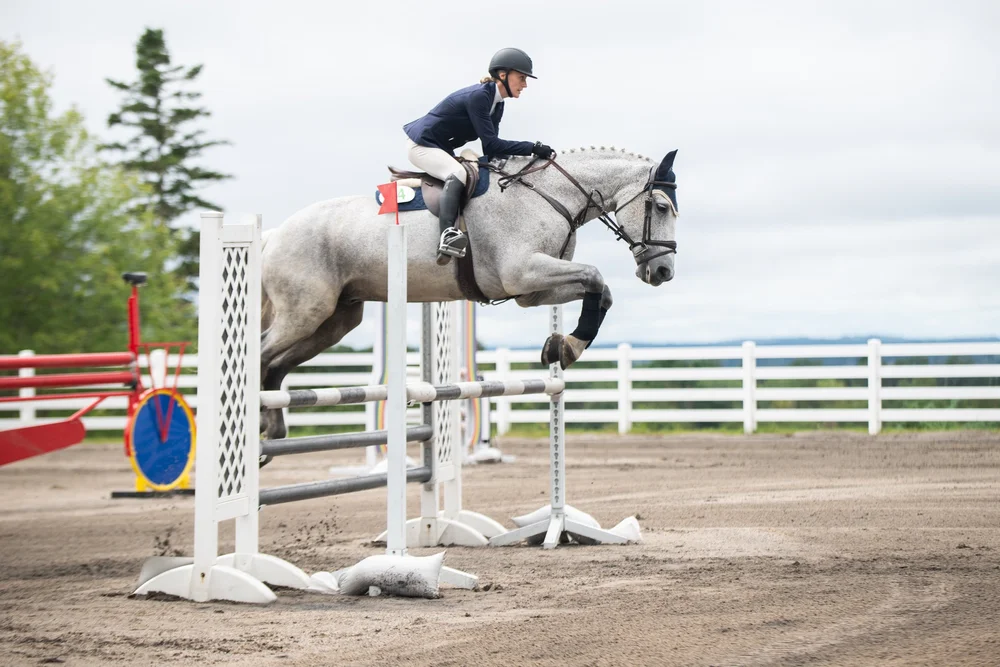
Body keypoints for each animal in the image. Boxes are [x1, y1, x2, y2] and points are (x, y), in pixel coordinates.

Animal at [259, 147, 680, 439]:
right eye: (661, 207)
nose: (664, 272)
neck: (549, 196)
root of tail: (274, 235)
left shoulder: (530, 291)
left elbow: (600, 290)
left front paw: (563, 347)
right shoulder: (522, 272)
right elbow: (594, 275)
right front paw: (568, 347)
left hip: (336, 321)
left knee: (275, 365)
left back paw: (271, 433)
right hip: (305, 312)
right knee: (261, 354)